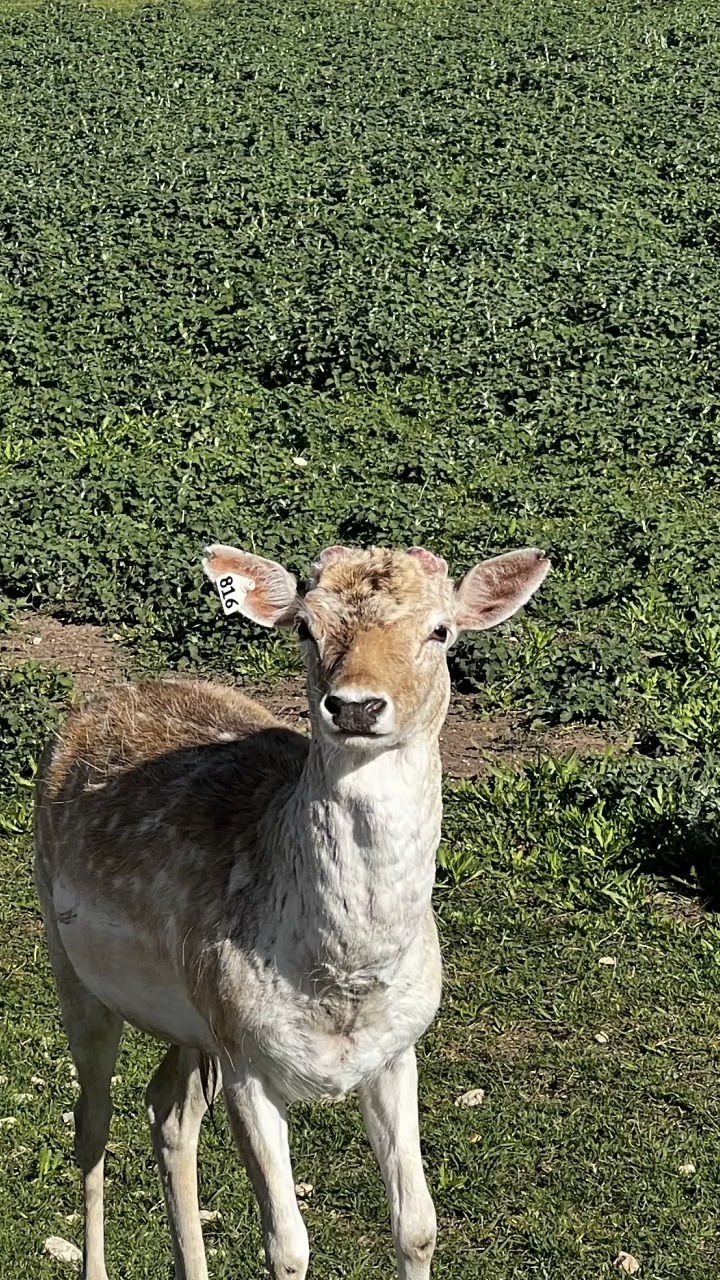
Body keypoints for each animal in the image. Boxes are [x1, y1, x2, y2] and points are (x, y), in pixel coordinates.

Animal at [34, 540, 549, 1280]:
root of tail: (99, 703)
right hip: (70, 962)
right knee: (91, 1121)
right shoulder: (248, 1056)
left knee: (167, 1108)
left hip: (194, 1022)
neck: (343, 984)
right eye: (306, 627)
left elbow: (418, 1225)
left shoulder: (397, 1049)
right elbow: (286, 1245)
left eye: (440, 631)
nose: (356, 706)